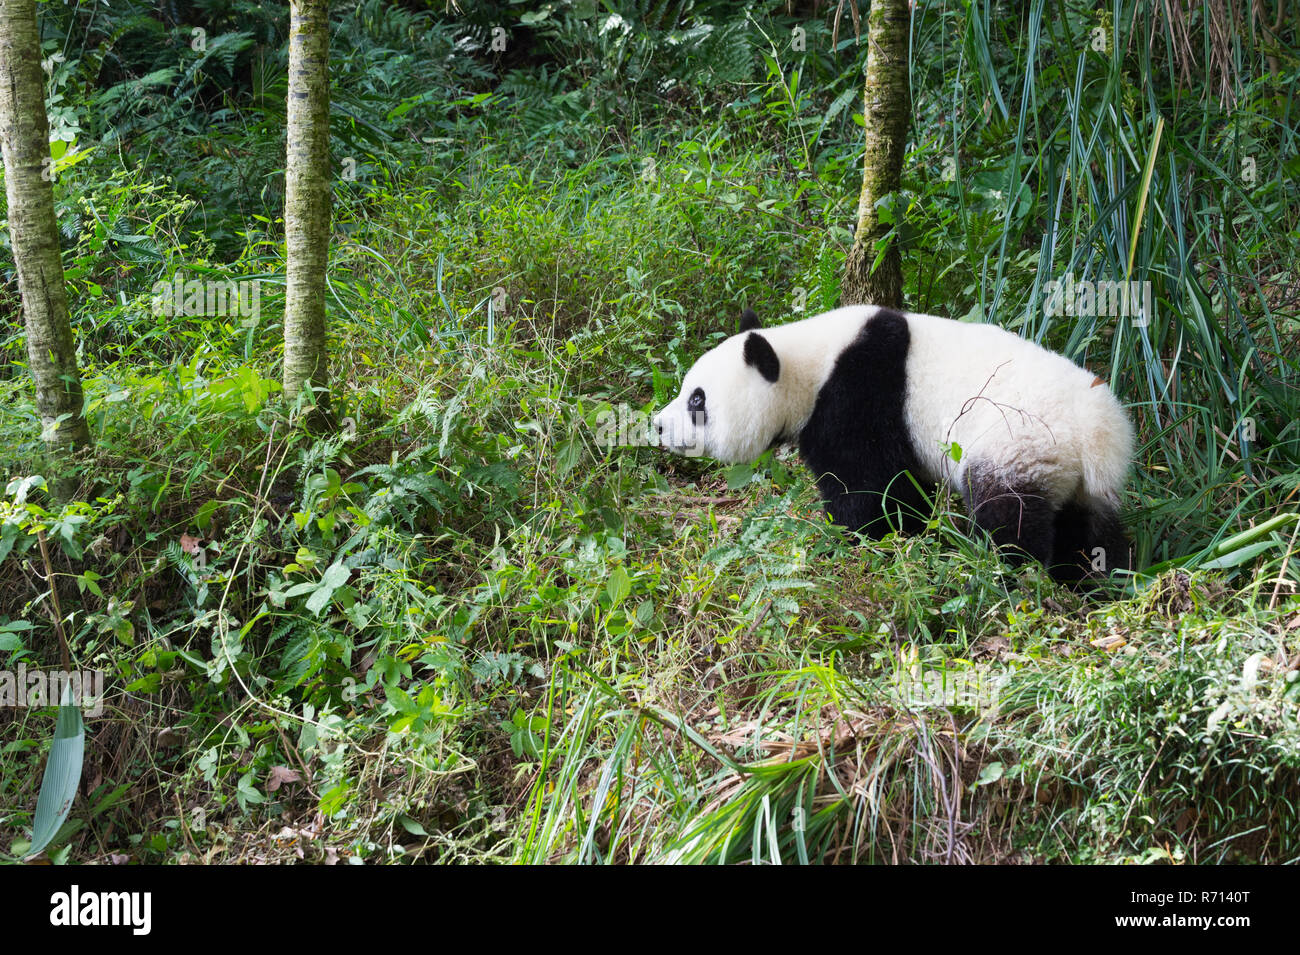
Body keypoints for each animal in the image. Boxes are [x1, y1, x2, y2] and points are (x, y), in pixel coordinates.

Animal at [652, 305, 1134, 583]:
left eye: (697, 399)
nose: (657, 425)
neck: (806, 361)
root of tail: (1096, 435)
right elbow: (902, 489)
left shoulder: (860, 394)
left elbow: (871, 489)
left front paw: (857, 541)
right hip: (1080, 482)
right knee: (1091, 531)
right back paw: (1092, 580)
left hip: (1016, 443)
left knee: (1009, 518)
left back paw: (1007, 572)